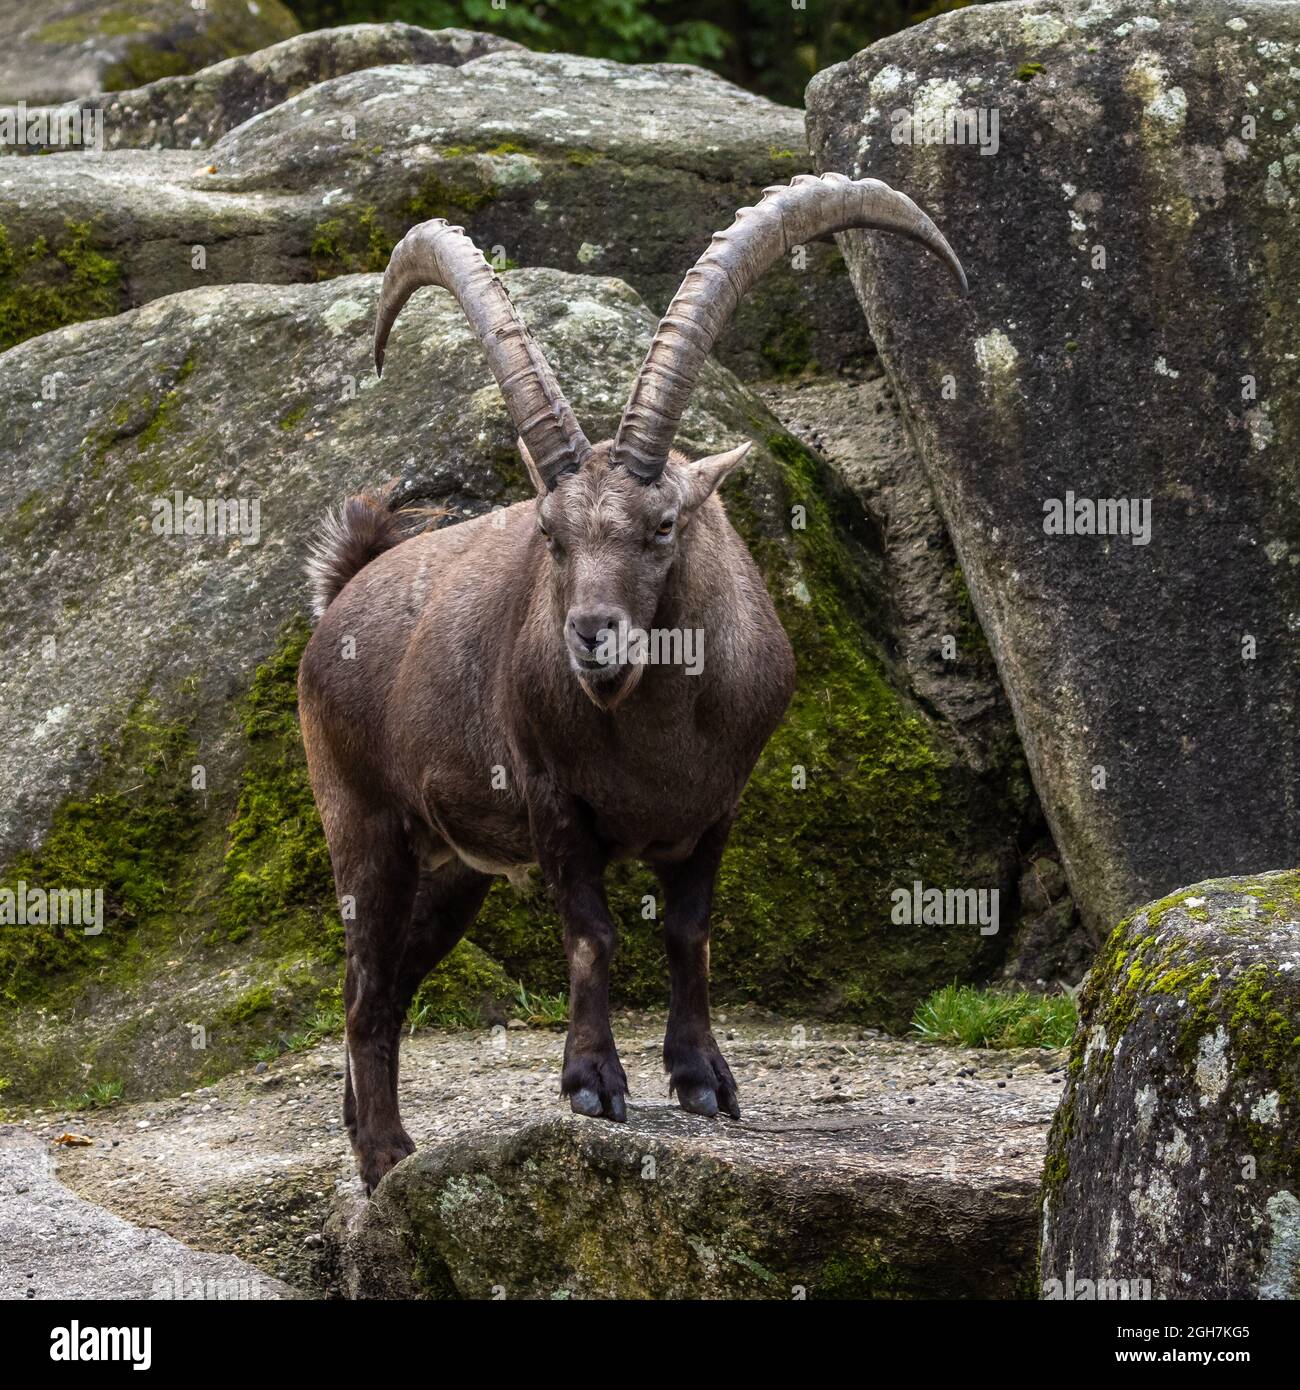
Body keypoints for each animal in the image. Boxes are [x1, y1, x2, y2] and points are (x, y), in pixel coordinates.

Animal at [298, 172, 966, 1191]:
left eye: (663, 524)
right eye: (549, 531)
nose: (592, 638)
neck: (655, 733)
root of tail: (342, 597)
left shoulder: (719, 802)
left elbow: (688, 928)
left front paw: (704, 1080)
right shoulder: (552, 799)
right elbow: (592, 933)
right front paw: (592, 1085)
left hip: (453, 869)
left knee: (380, 986)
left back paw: (360, 1129)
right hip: (363, 821)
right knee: (367, 986)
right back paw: (383, 1157)